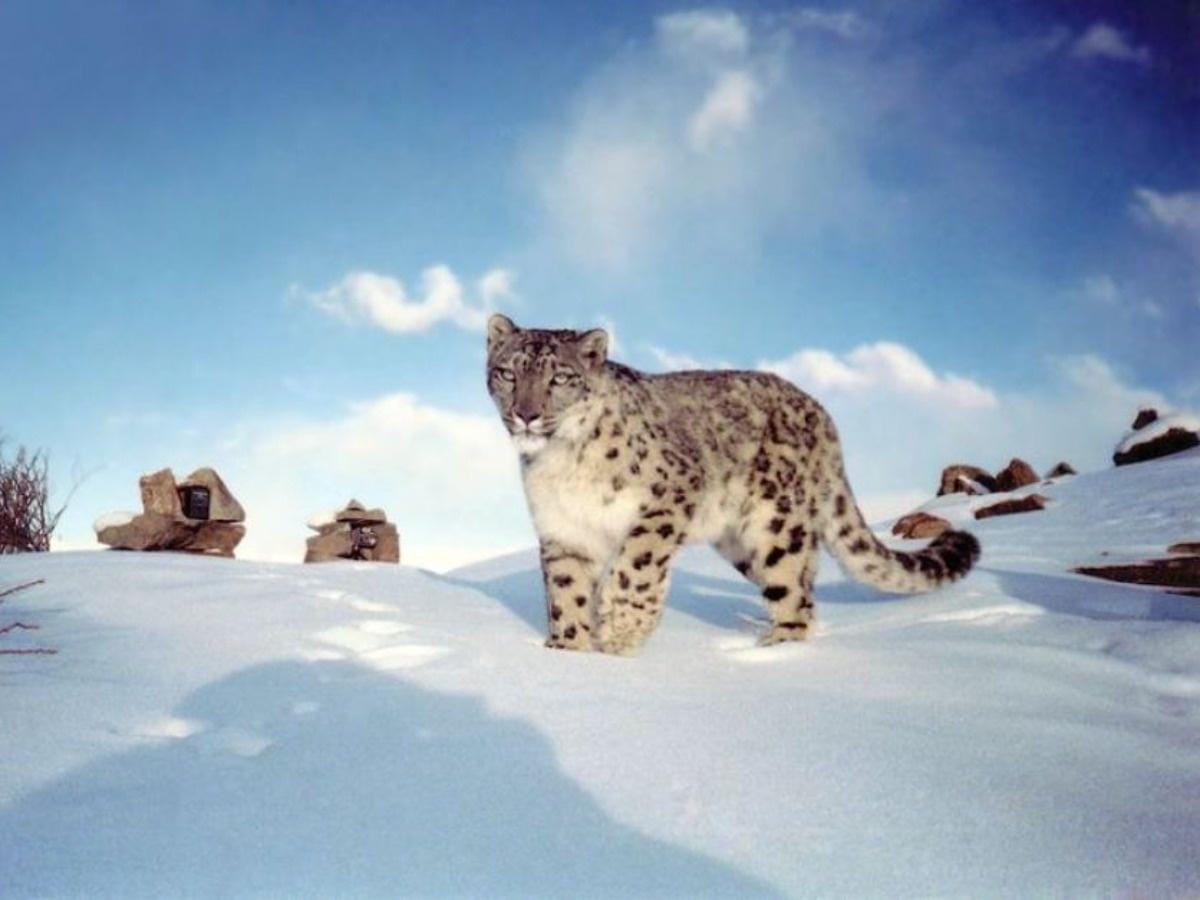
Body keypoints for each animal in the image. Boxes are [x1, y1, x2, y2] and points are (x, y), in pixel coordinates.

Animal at [485, 314, 980, 655]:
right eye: (508, 373)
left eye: (559, 377)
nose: (526, 413)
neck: (560, 462)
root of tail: (822, 414)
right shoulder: (563, 531)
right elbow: (565, 594)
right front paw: (569, 650)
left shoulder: (669, 496)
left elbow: (636, 566)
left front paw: (621, 630)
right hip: (741, 542)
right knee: (801, 588)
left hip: (777, 524)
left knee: (794, 592)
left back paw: (776, 650)